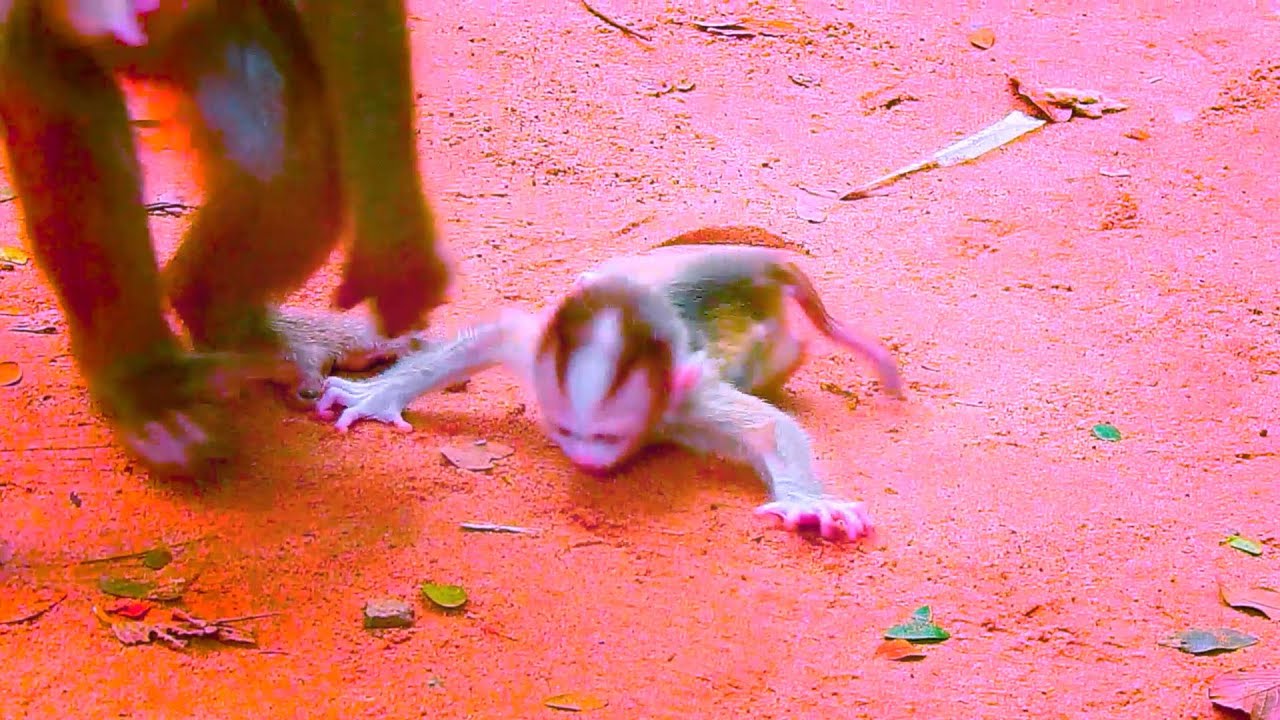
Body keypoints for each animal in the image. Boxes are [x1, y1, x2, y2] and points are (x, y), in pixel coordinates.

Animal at [315, 231, 903, 542]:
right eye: (563, 430)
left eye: (608, 438)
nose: (584, 462)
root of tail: (762, 262)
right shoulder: (537, 352)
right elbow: (493, 335)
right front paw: (375, 396)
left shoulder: (682, 402)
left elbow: (767, 428)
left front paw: (810, 503)